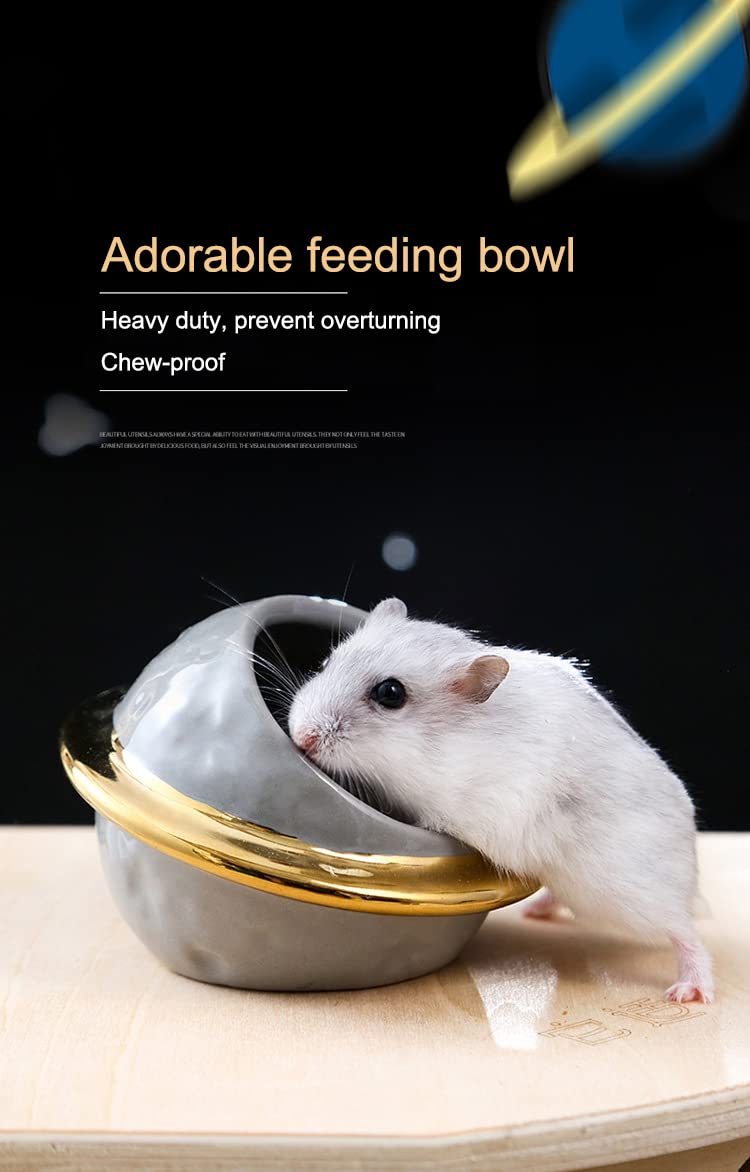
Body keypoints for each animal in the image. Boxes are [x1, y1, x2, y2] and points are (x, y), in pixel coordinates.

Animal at [288, 597, 713, 1003]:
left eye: (390, 694)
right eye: (326, 662)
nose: (300, 737)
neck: (438, 748)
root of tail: (692, 870)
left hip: (625, 894)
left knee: (686, 931)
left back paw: (690, 992)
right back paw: (535, 912)